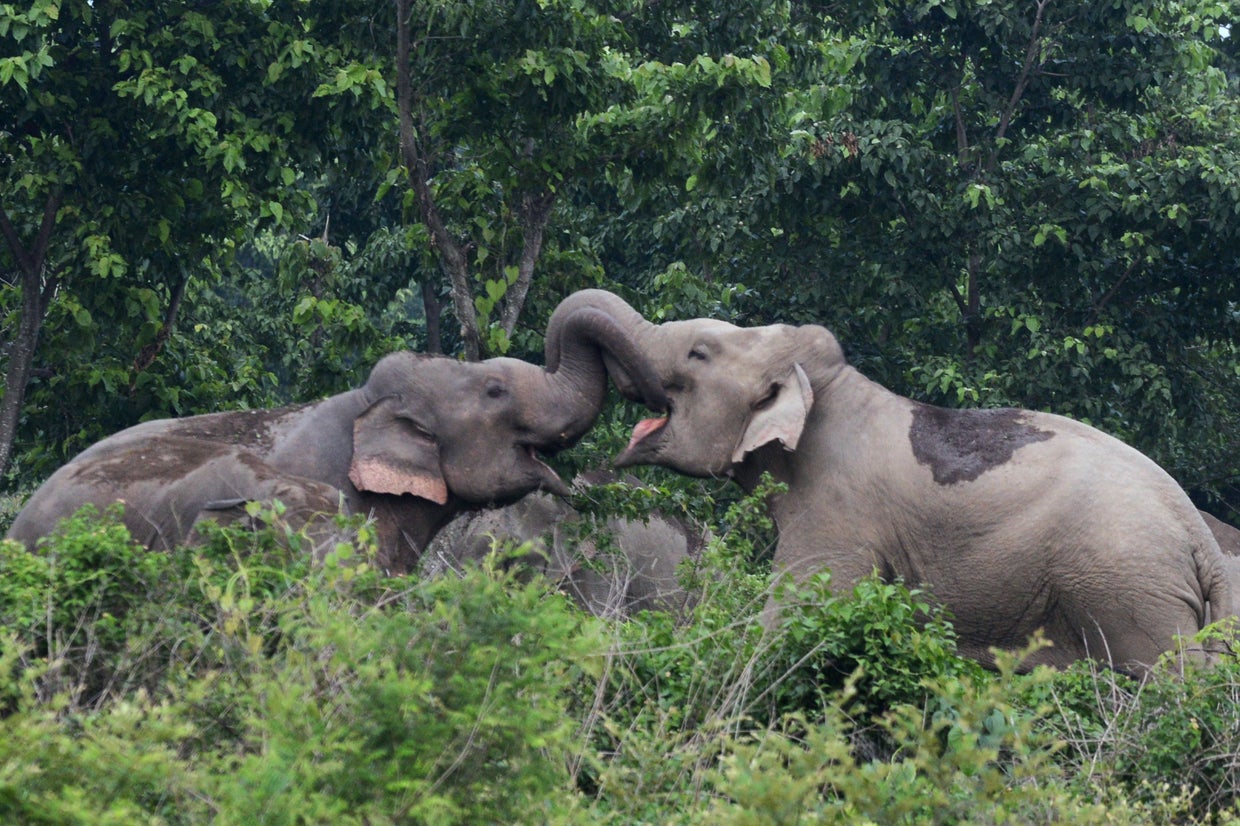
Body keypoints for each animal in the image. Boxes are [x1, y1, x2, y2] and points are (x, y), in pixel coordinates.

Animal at [559, 289, 1236, 676]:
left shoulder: (838, 513)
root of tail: (1199, 537)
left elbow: (797, 618)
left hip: (1129, 588)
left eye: (698, 354)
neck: (831, 389)